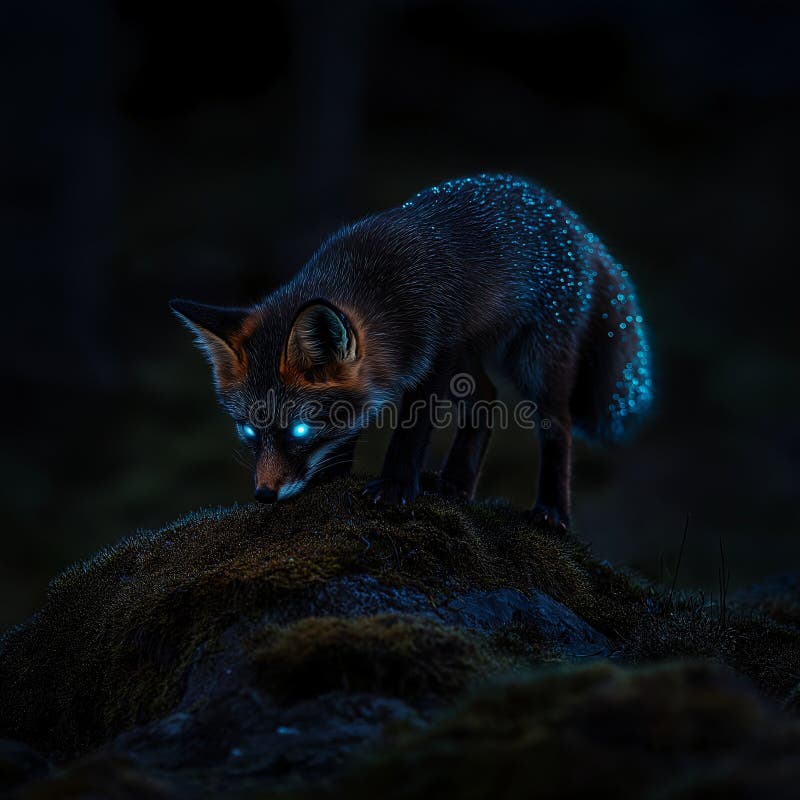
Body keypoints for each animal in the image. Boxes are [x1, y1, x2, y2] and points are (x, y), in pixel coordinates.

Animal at [170, 174, 652, 530]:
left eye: (300, 431)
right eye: (248, 431)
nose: (264, 495)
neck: (386, 294)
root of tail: (573, 220)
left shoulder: (435, 359)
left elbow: (410, 430)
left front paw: (395, 487)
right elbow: (351, 430)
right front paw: (333, 480)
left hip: (533, 362)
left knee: (556, 426)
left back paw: (552, 512)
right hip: (470, 361)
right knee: (487, 399)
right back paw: (456, 484)